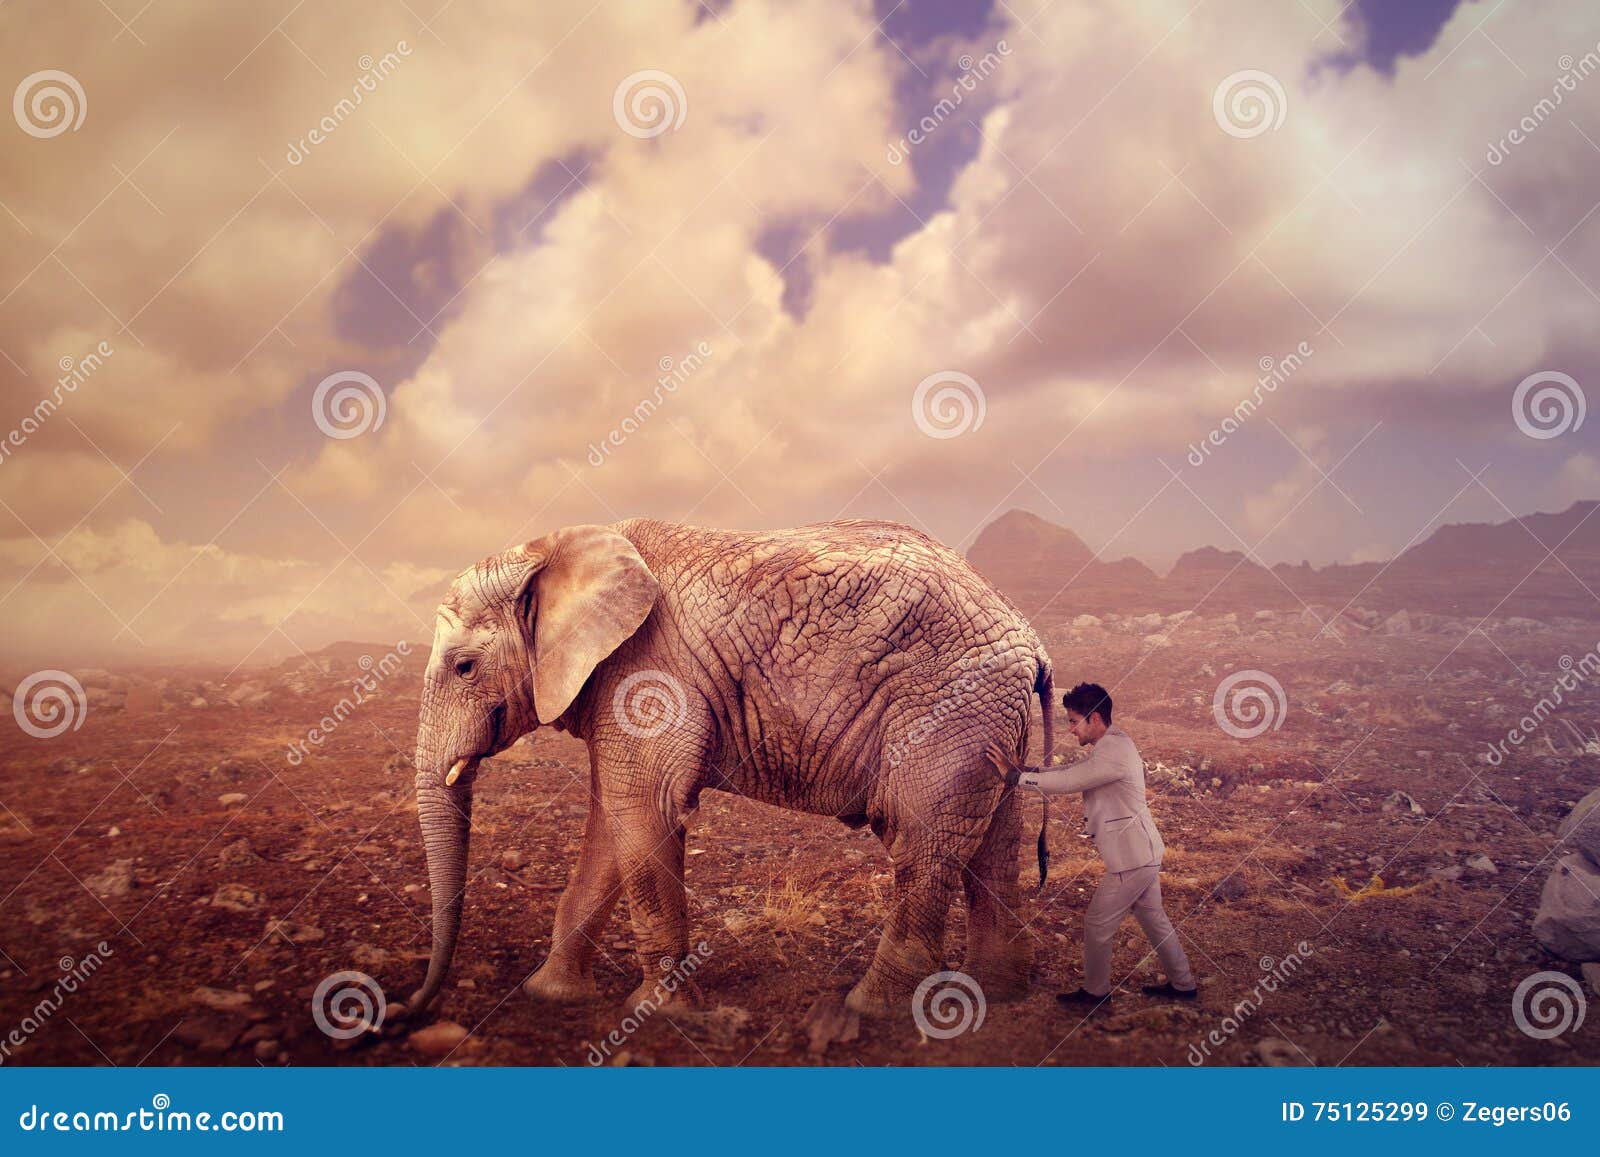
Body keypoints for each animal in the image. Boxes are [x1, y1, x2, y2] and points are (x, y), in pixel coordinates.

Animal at [405, 517, 1055, 1021]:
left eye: (464, 667)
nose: (410, 1007)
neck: (550, 548)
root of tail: (1032, 639)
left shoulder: (648, 675)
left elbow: (646, 809)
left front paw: (662, 1014)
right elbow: (613, 822)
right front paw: (551, 997)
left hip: (948, 710)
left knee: (919, 840)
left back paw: (870, 1011)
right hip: (986, 720)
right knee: (993, 842)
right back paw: (999, 996)